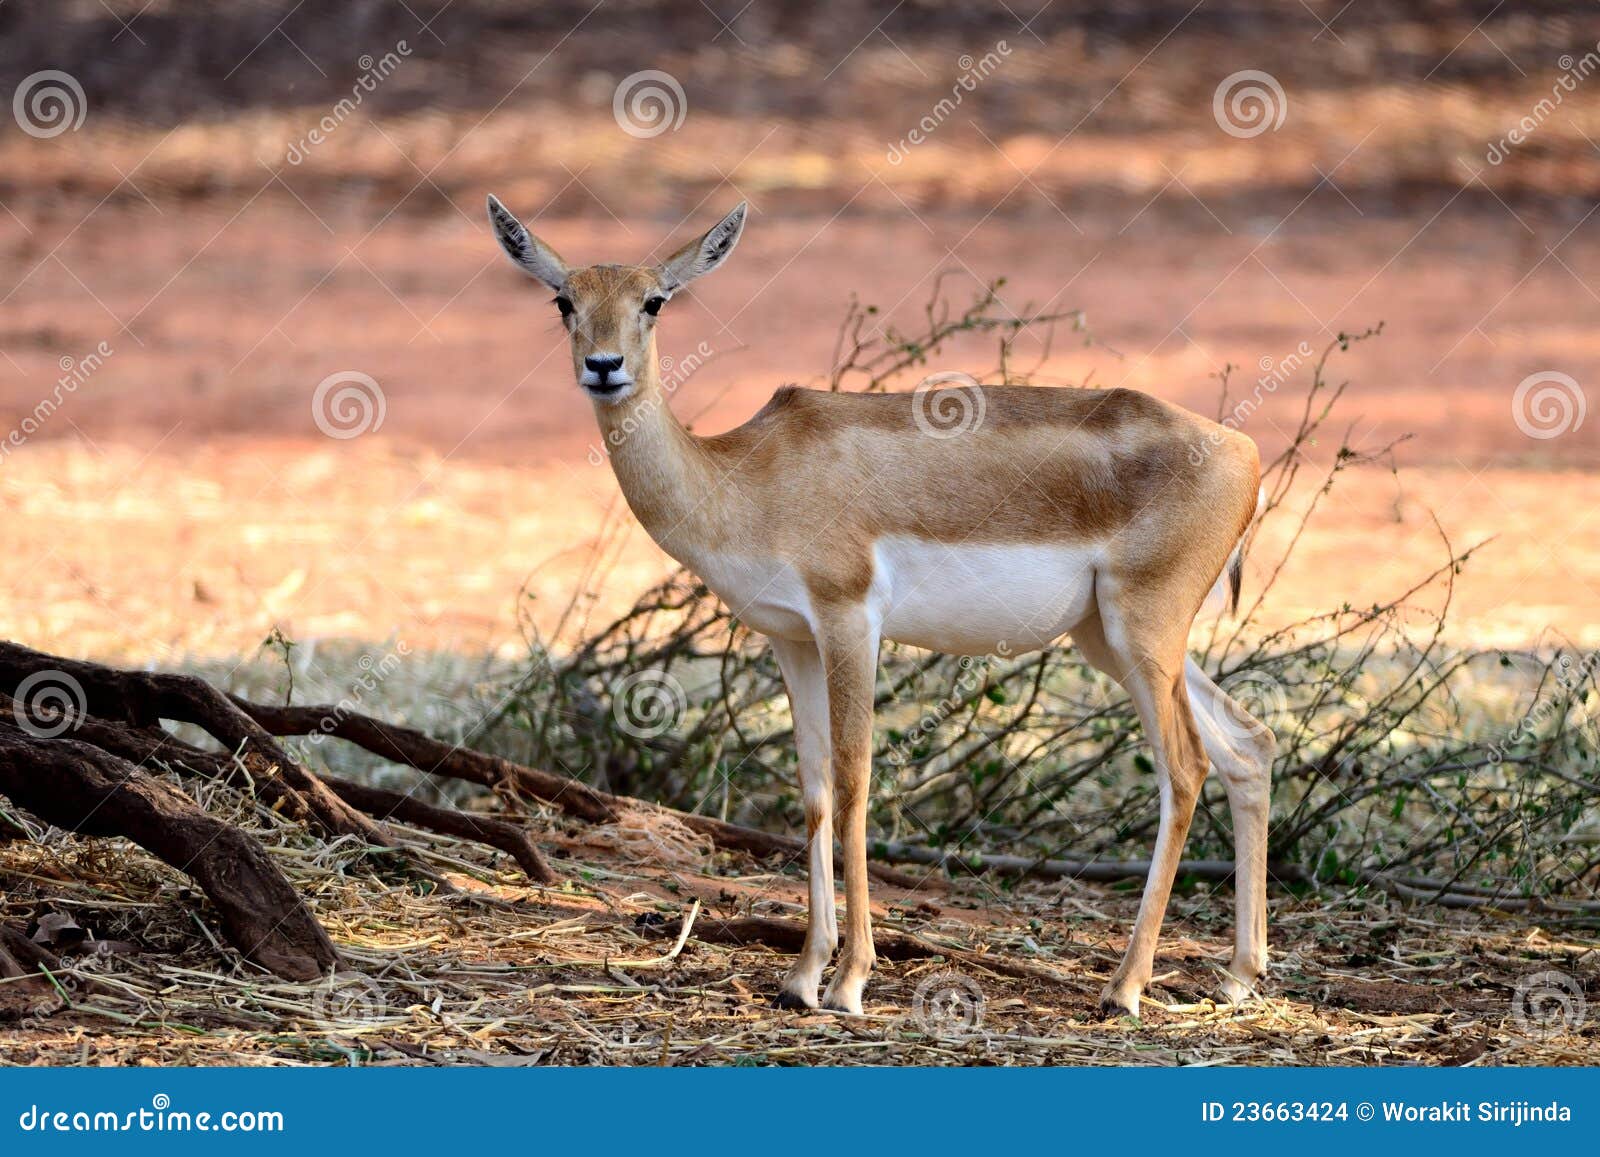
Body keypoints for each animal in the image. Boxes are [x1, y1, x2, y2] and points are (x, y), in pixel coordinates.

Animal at [487, 195, 1277, 1017]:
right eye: (564, 300)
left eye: (654, 300)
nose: (603, 367)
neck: (750, 476)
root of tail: (1245, 452)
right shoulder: (793, 639)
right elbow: (811, 790)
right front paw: (804, 973)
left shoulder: (849, 620)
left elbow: (854, 777)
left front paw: (851, 979)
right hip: (1112, 639)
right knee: (1247, 746)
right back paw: (1237, 976)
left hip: (1143, 631)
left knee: (1185, 767)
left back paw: (1124, 988)